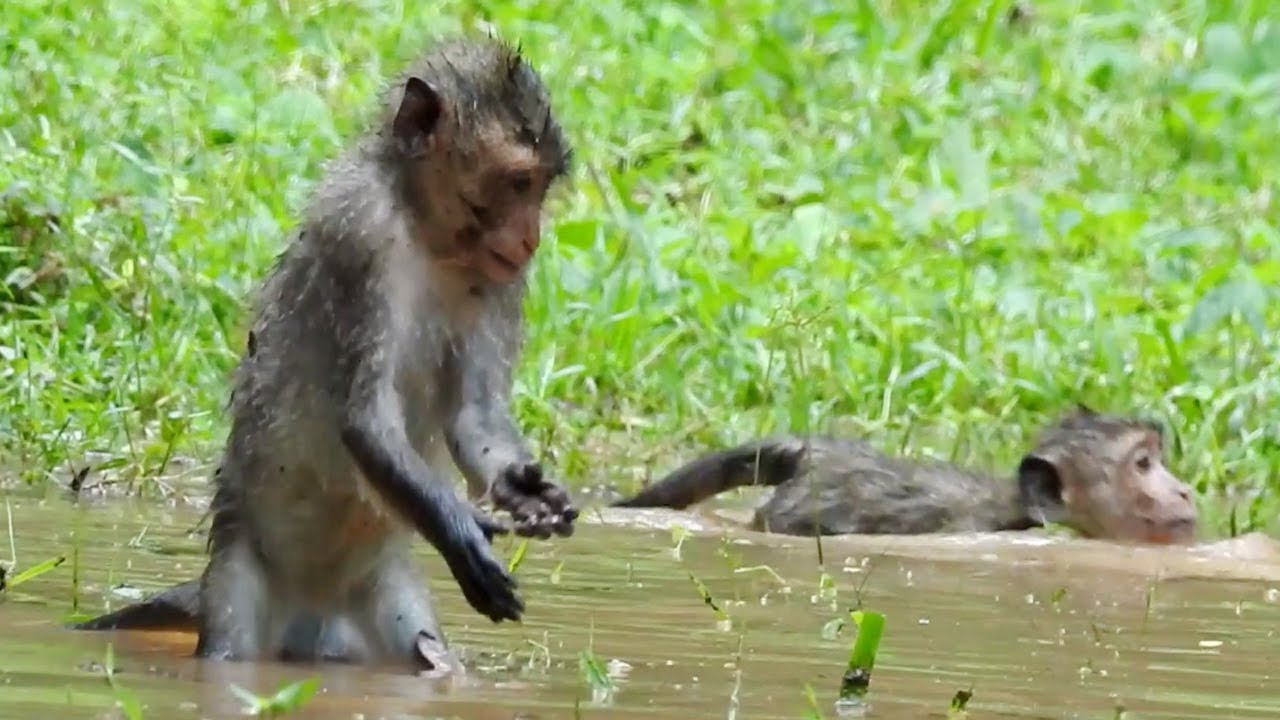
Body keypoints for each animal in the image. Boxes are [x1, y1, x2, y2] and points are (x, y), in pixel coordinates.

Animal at [74, 36, 579, 668]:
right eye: (516, 182)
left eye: (539, 187)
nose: (532, 236)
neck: (424, 230)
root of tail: (312, 609)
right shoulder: (356, 236)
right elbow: (362, 417)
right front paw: (460, 532)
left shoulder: (502, 280)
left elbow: (475, 418)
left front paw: (524, 490)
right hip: (243, 575)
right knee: (229, 652)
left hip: (376, 596)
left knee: (424, 654)